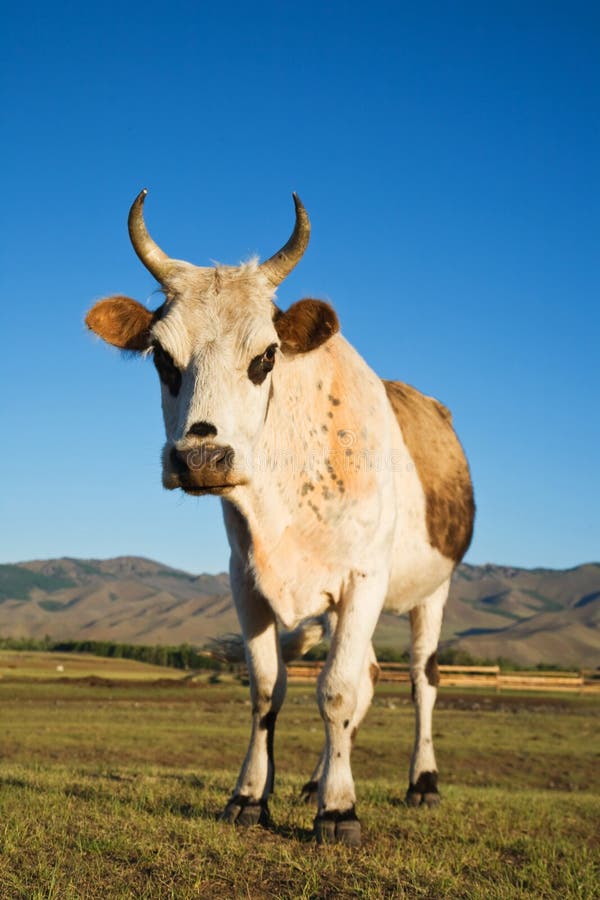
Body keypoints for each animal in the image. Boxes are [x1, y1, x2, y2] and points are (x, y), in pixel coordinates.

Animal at [85, 190, 475, 846]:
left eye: (265, 356)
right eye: (162, 356)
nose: (202, 458)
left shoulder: (364, 580)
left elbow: (337, 691)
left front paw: (339, 811)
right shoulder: (247, 583)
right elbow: (269, 688)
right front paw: (251, 796)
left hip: (432, 590)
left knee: (421, 679)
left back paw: (421, 783)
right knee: (370, 673)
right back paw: (317, 781)